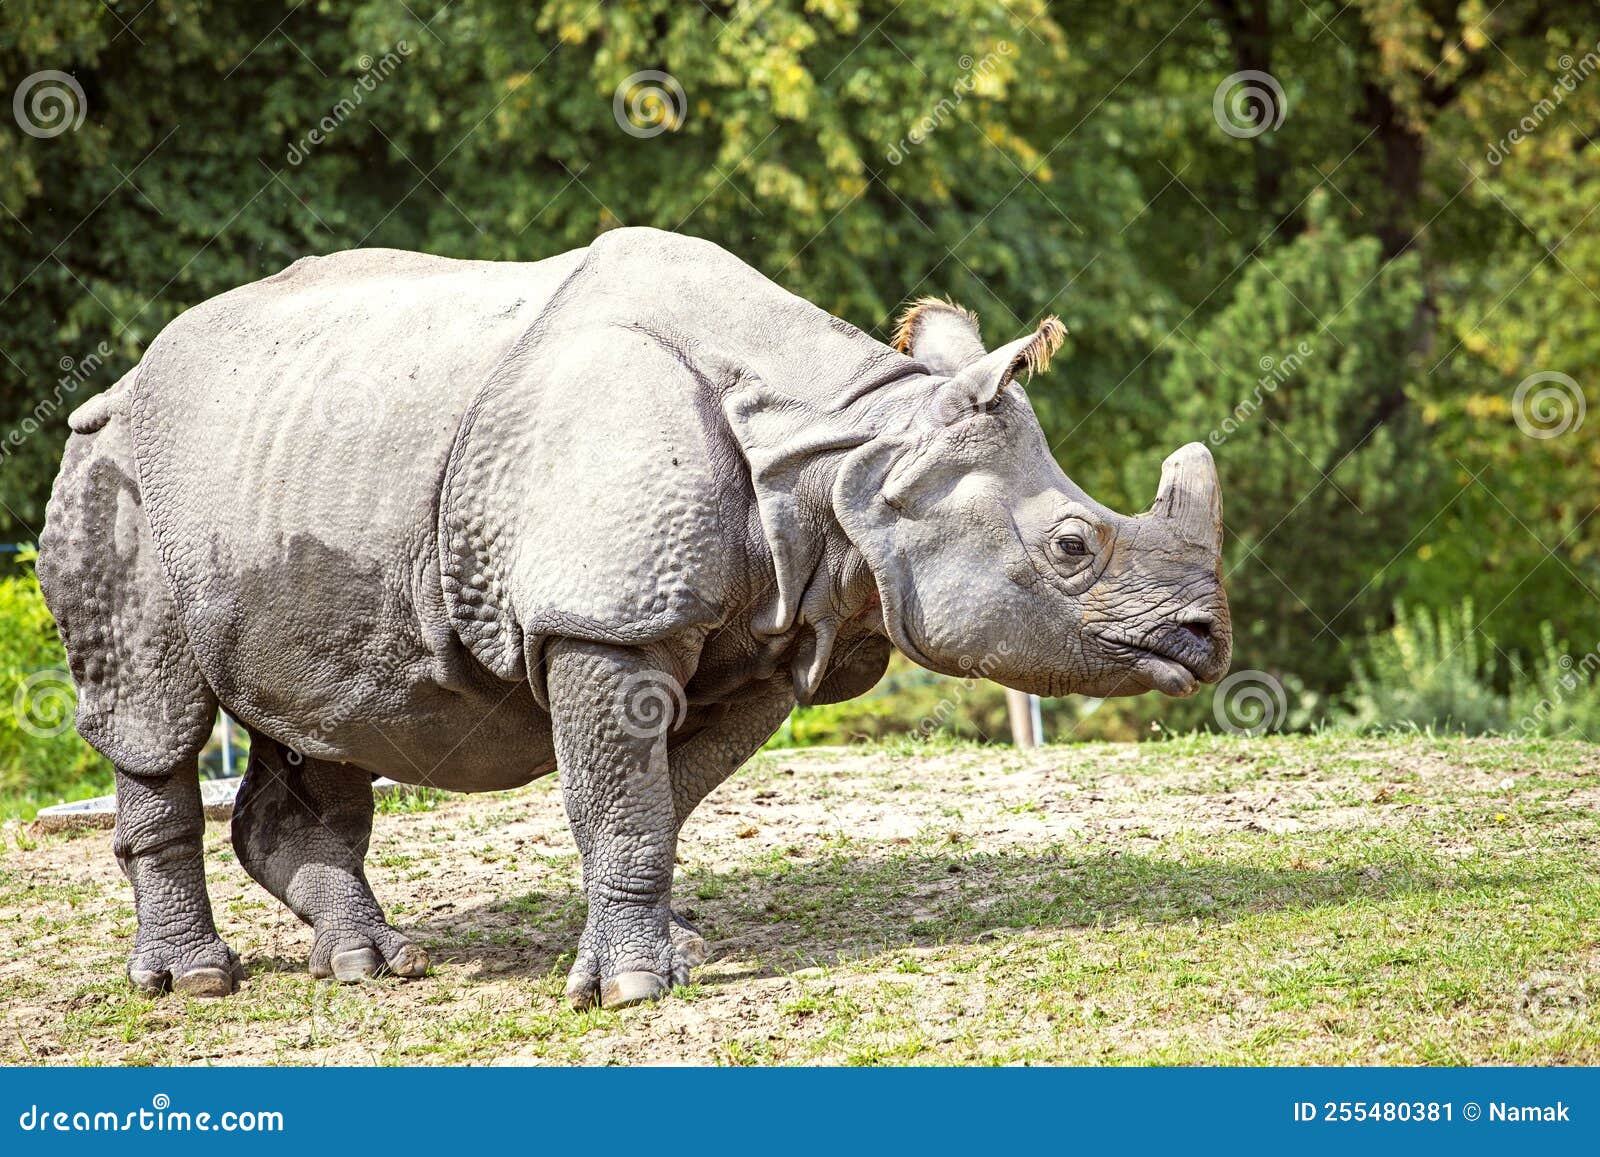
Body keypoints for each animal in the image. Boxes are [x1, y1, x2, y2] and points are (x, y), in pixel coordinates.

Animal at [37, 227, 1230, 1008]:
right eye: (1072, 547)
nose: (1208, 640)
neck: (852, 452)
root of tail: (131, 372)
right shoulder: (601, 620)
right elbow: (625, 796)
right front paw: (633, 990)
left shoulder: (764, 637)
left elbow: (661, 793)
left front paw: (668, 945)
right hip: (116, 462)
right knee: (158, 712)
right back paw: (196, 983)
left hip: (307, 463)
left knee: (334, 706)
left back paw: (373, 964)